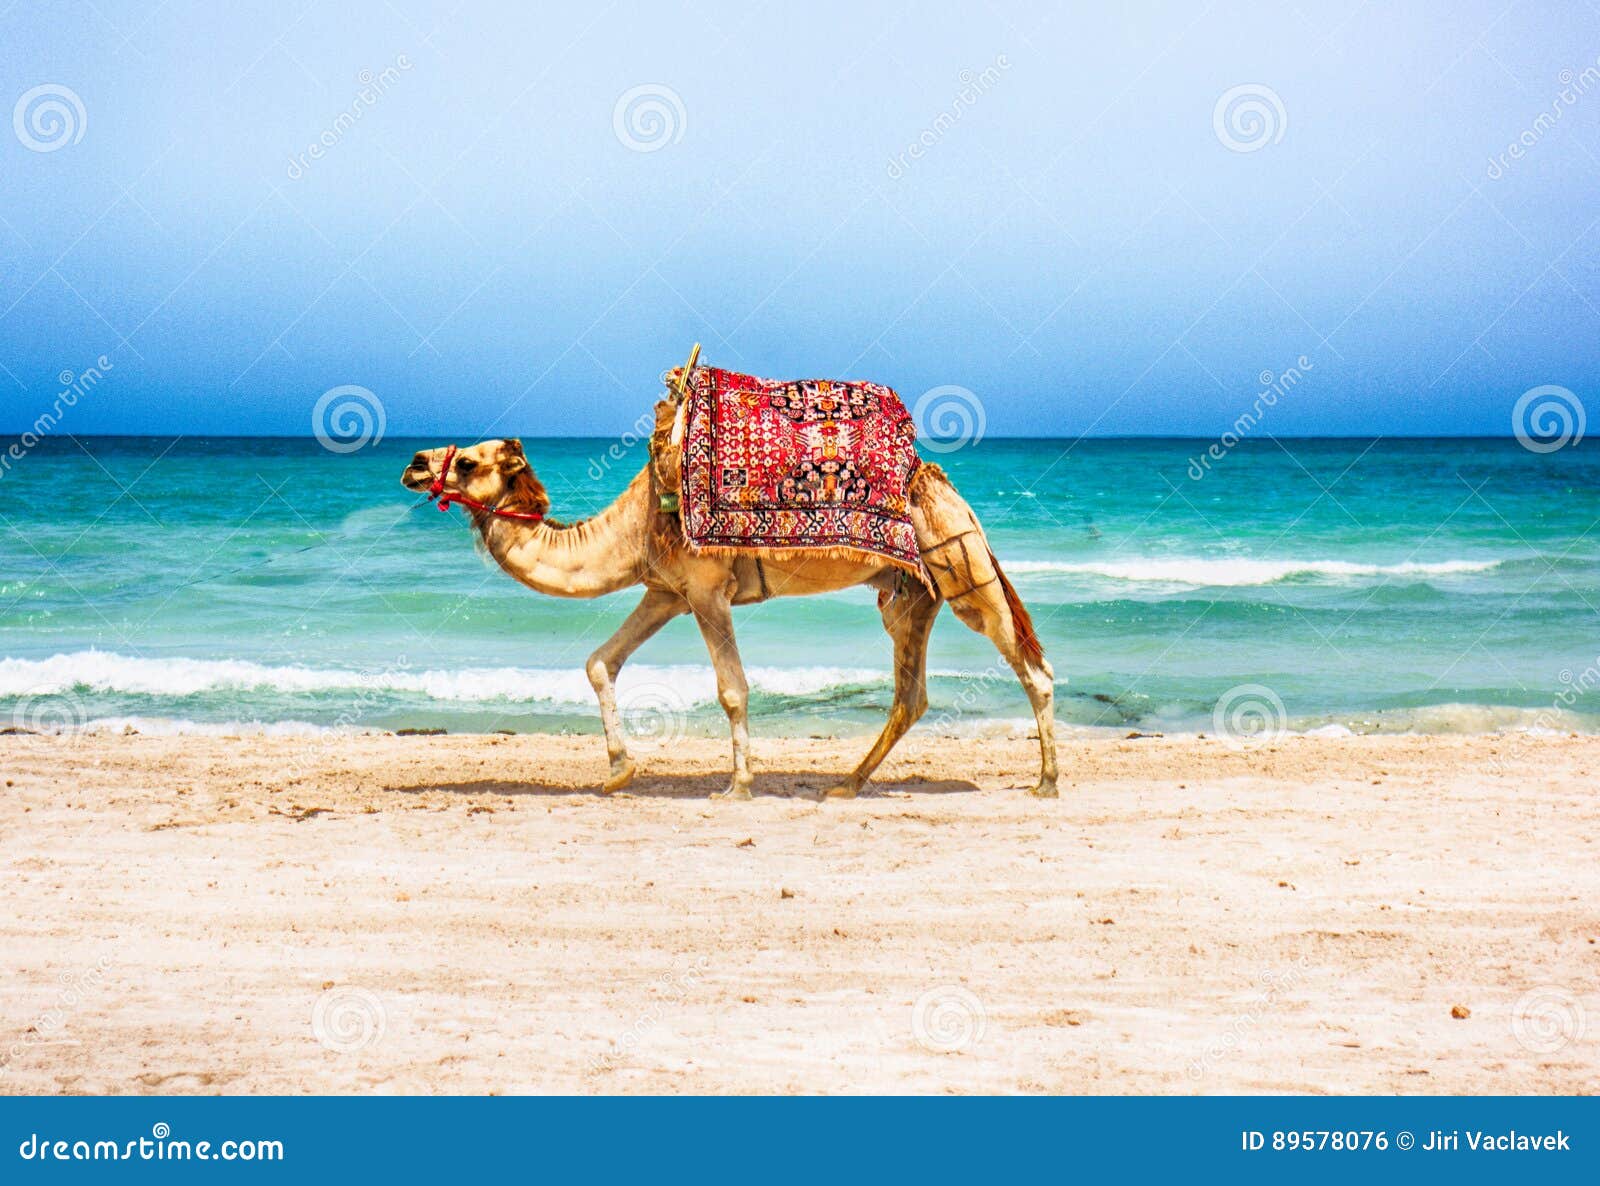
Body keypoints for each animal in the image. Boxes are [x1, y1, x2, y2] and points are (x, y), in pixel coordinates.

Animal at [400, 436, 1058, 800]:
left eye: (468, 462)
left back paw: (1047, 782)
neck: (634, 526)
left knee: (1033, 670)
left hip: (959, 561)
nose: (413, 462)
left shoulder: (706, 588)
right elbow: (599, 663)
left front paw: (736, 786)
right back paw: (845, 785)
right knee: (910, 694)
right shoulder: (665, 591)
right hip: (913, 593)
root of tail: (946, 486)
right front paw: (618, 772)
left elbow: (733, 689)